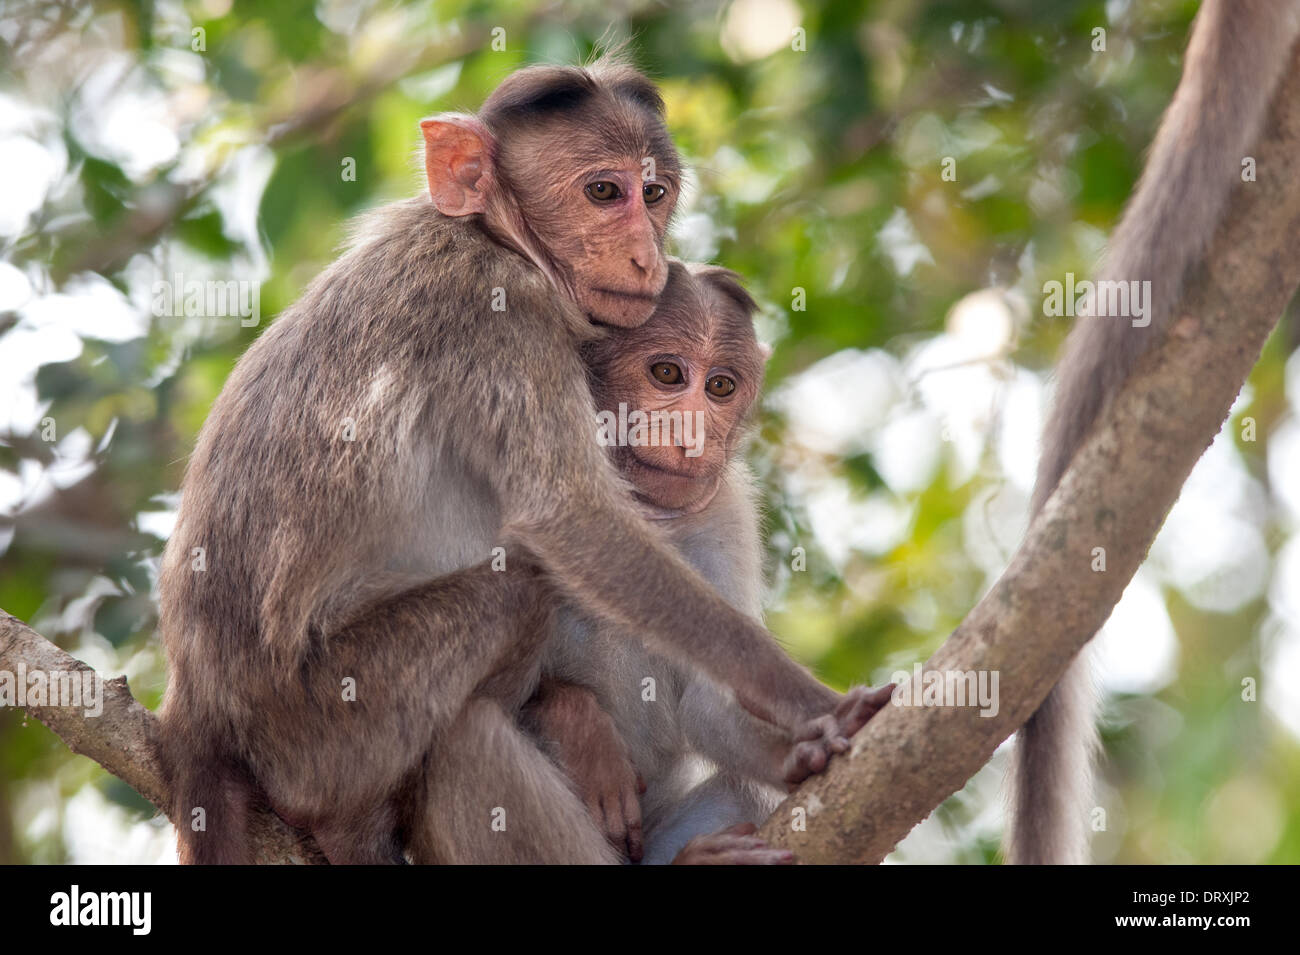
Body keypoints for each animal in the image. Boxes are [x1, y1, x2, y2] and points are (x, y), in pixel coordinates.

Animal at [512, 262, 894, 865]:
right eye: (667, 373)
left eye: (720, 387)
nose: (694, 432)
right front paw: (579, 724)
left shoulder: (725, 512)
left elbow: (709, 700)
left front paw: (799, 750)